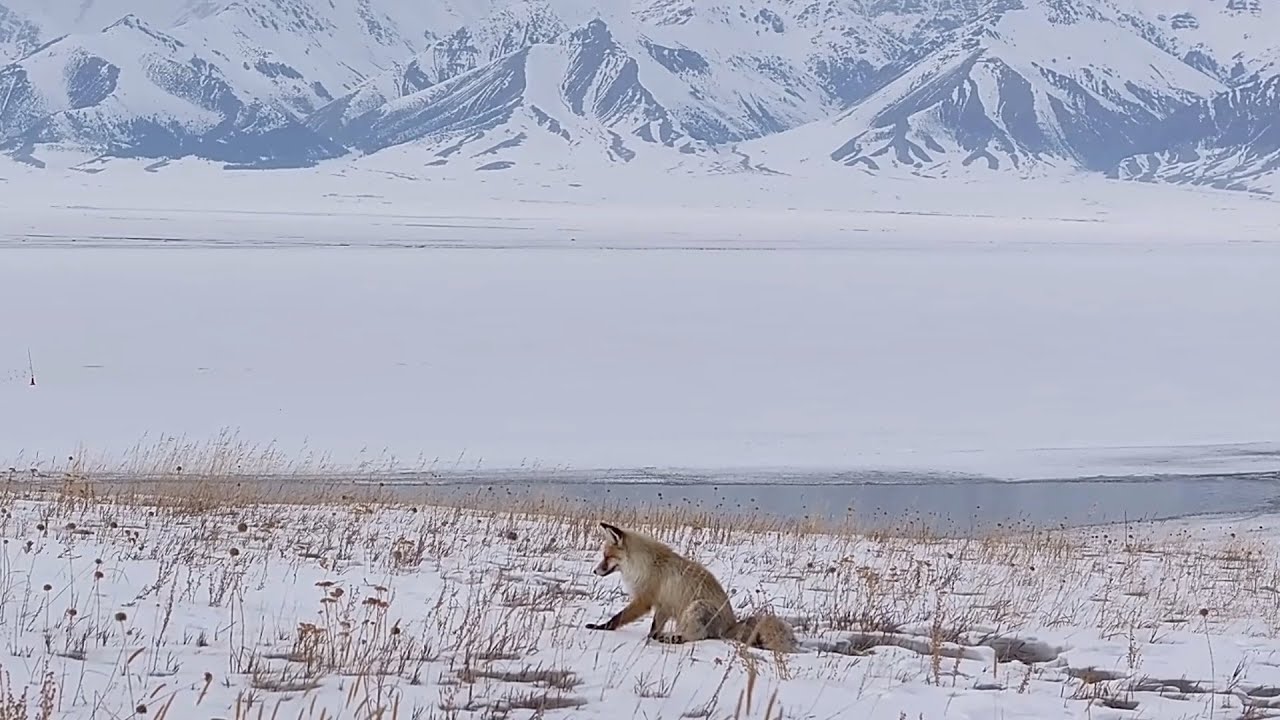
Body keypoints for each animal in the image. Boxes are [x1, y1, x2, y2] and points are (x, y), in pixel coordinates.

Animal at [584, 522, 799, 653]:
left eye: (606, 556)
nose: (594, 571)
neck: (646, 564)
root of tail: (731, 625)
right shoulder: (663, 606)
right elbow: (654, 628)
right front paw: (652, 638)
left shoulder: (644, 600)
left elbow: (617, 618)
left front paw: (600, 627)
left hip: (696, 606)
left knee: (699, 636)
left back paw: (674, 639)